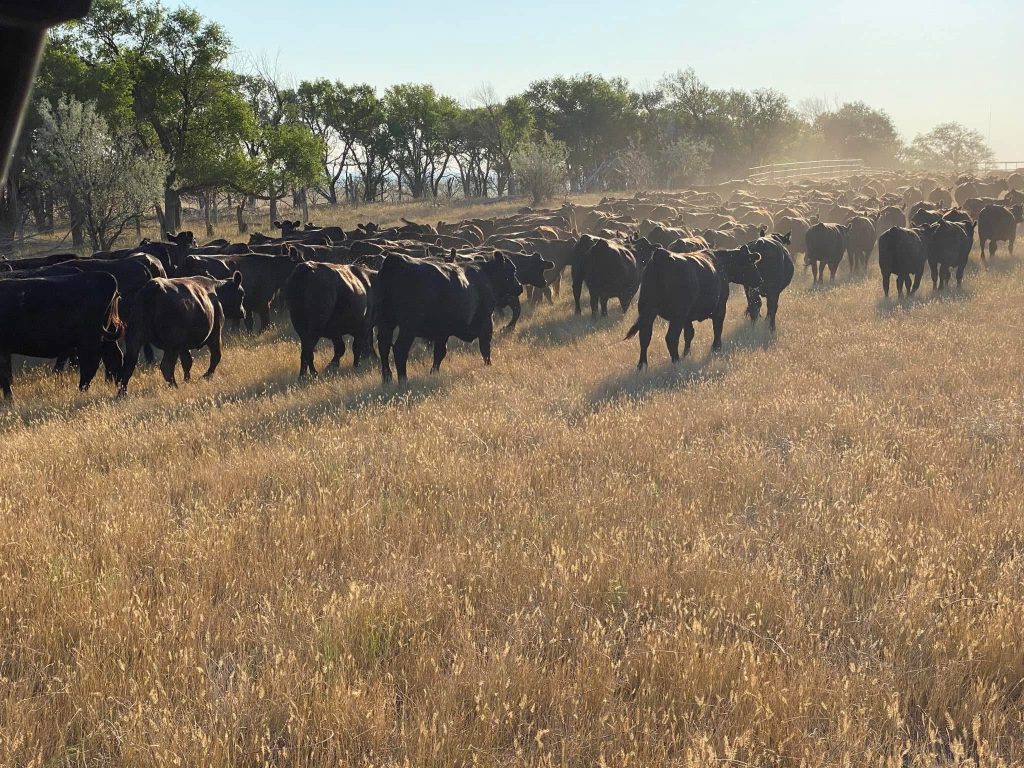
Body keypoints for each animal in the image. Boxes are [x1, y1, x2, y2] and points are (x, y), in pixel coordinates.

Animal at [375, 252, 522, 383]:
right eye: (512, 270)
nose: (520, 287)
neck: (486, 276)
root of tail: (396, 260)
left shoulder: (442, 332)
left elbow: (439, 353)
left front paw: (433, 373)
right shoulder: (486, 322)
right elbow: (485, 348)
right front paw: (488, 365)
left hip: (386, 323)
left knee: (384, 346)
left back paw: (386, 378)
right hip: (408, 328)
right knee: (399, 349)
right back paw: (403, 380)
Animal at [624, 246, 762, 368]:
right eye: (752, 264)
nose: (760, 280)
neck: (721, 263)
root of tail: (661, 255)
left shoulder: (687, 317)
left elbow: (689, 334)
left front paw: (687, 354)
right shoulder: (720, 308)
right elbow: (717, 329)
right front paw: (716, 349)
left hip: (648, 310)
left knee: (645, 337)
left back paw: (642, 365)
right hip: (676, 315)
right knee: (671, 338)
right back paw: (676, 362)